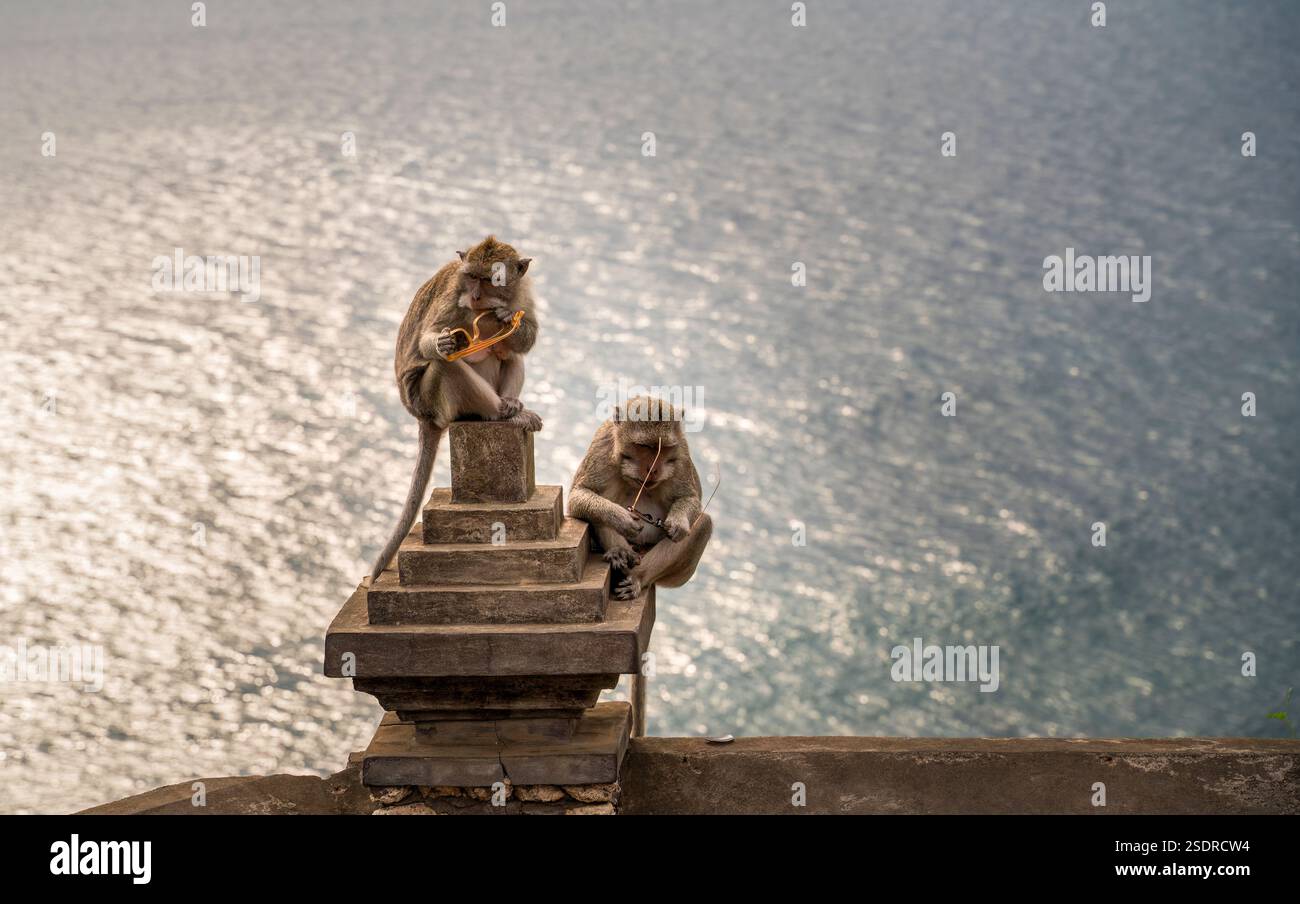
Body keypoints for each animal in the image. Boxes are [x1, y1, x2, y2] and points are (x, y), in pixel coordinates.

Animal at [369, 236, 542, 583]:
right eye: (472, 277)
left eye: (492, 279)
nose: (474, 296)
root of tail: (421, 417)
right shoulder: (451, 300)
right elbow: (430, 341)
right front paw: (441, 343)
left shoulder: (523, 293)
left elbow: (525, 333)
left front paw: (508, 317)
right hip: (430, 401)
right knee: (447, 367)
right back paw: (502, 413)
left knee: (508, 352)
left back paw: (512, 404)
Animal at [568, 396, 712, 601]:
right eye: (644, 446)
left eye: (664, 448)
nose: (653, 470)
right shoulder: (602, 447)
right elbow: (579, 494)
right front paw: (621, 519)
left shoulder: (681, 454)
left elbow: (690, 497)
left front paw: (678, 524)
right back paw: (620, 554)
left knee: (703, 525)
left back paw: (636, 577)